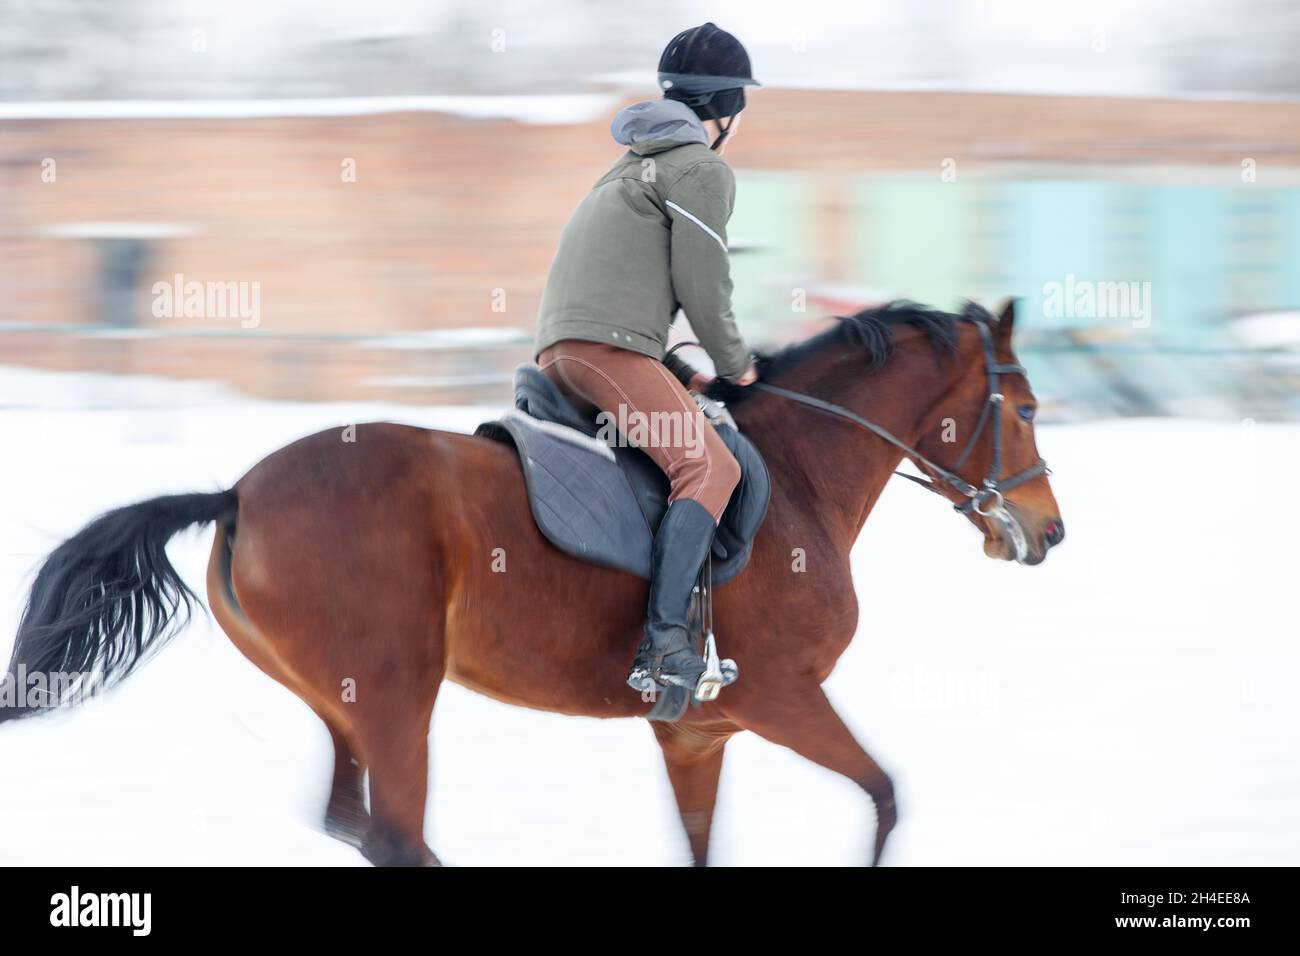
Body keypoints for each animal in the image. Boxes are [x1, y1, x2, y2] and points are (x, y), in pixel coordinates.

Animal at [1, 299, 1063, 866]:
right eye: (1023, 408)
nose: (1049, 531)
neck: (799, 475)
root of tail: (238, 492)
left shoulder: (699, 732)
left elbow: (703, 843)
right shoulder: (781, 697)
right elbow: (884, 796)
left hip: (343, 704)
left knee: (356, 820)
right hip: (397, 697)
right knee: (393, 832)